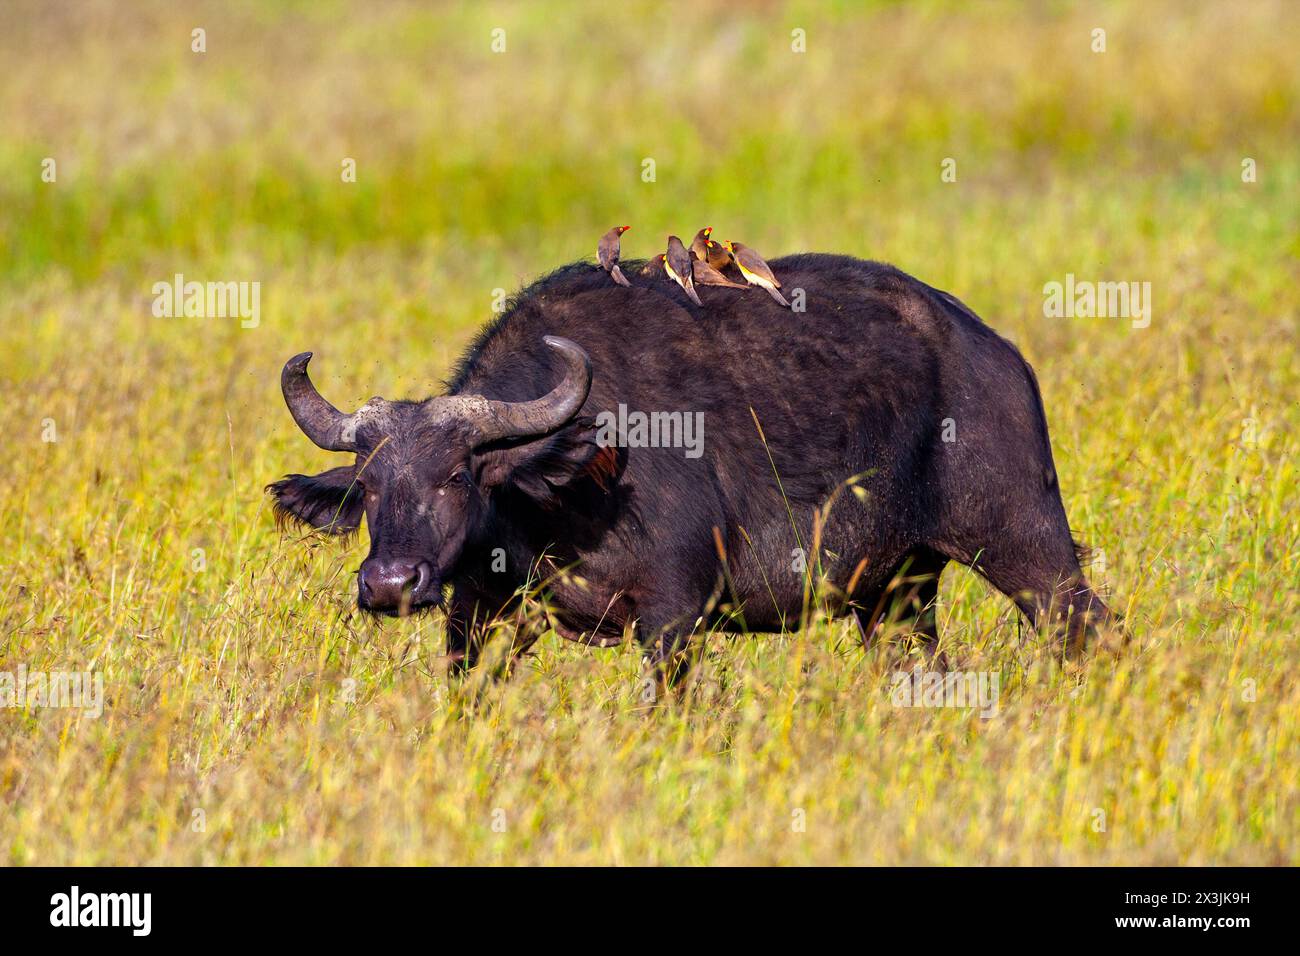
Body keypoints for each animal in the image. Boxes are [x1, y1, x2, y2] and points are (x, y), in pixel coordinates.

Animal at [269, 254, 1115, 685]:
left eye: (457, 477)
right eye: (370, 486)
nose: (389, 585)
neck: (567, 491)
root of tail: (996, 353)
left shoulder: (673, 616)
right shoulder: (474, 617)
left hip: (1029, 546)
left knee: (1090, 628)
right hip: (897, 596)